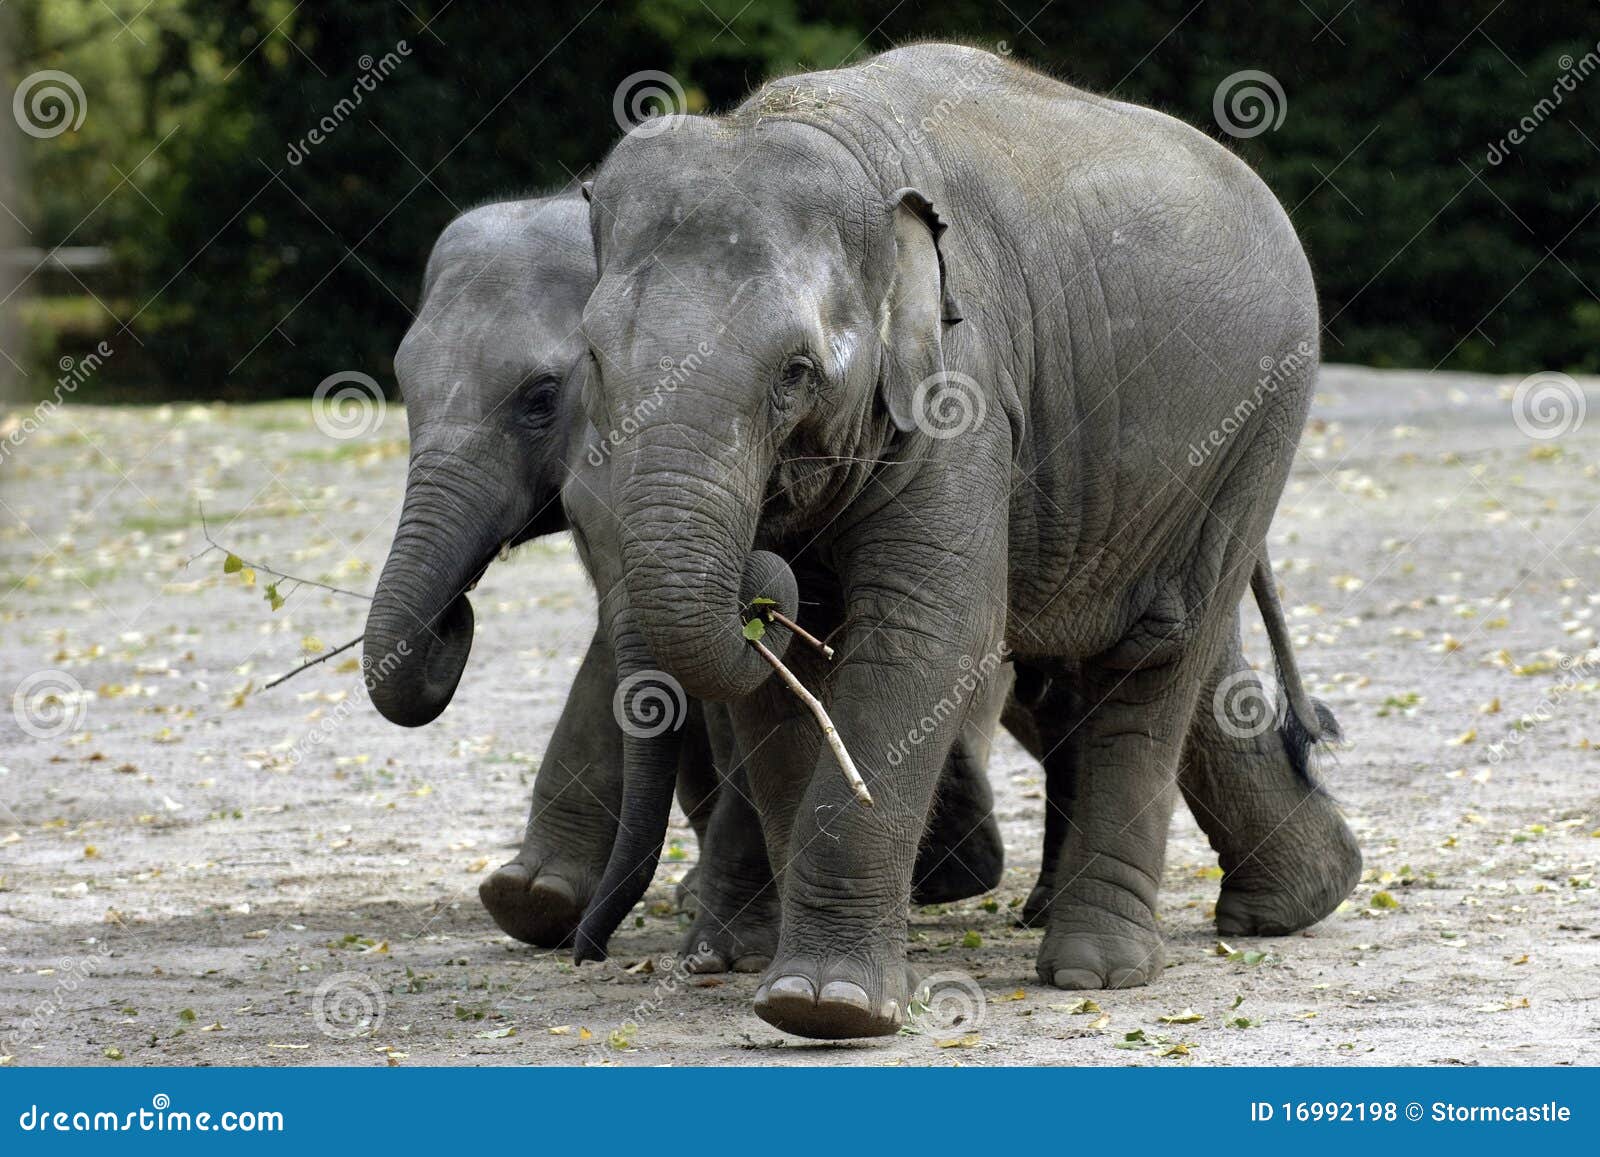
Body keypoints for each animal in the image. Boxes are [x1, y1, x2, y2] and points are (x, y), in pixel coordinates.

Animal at [571, 42, 1360, 1039]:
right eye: (595, 361)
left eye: (796, 373)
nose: (584, 951)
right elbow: (776, 693)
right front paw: (794, 987)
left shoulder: (968, 389)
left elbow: (926, 636)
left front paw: (827, 1008)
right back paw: (1296, 902)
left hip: (1261, 418)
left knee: (1157, 652)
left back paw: (1099, 970)